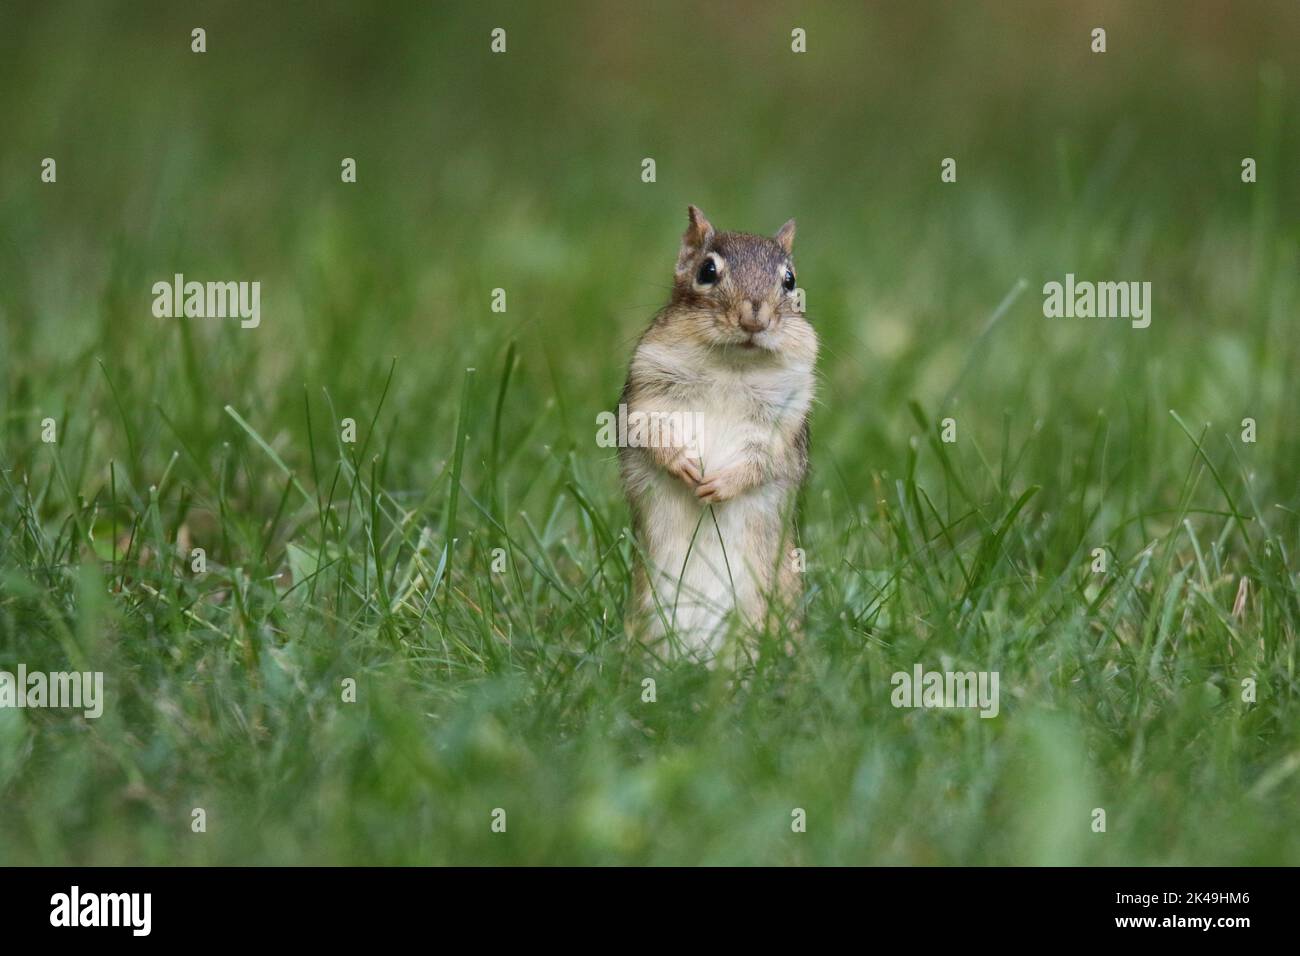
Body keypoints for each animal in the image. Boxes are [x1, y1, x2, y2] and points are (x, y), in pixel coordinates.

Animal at [618, 205, 818, 662]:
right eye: (707, 271)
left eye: (790, 280)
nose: (753, 316)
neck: (733, 366)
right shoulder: (648, 395)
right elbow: (650, 433)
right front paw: (684, 467)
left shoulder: (782, 426)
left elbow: (762, 462)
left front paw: (721, 485)